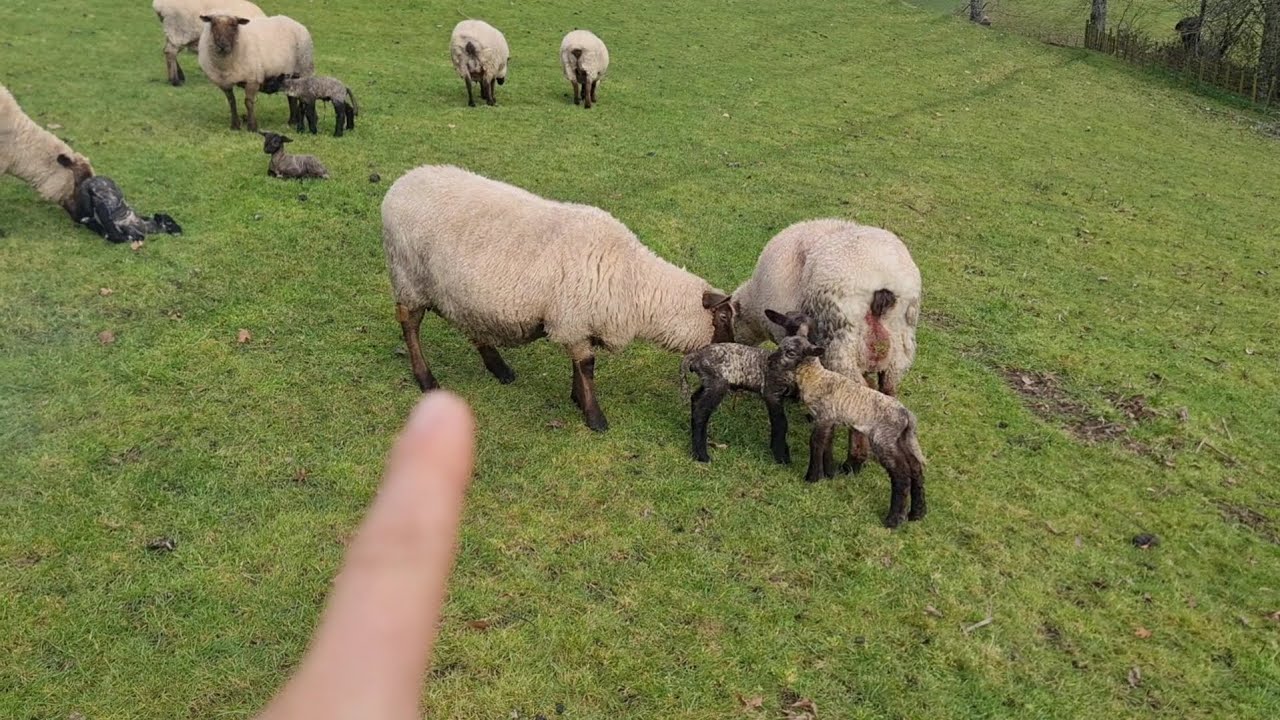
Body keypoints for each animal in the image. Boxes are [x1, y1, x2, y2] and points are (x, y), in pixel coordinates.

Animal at [381, 164, 736, 432]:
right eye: (722, 316)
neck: (633, 282)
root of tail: (400, 184)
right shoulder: (572, 317)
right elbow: (587, 365)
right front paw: (594, 417)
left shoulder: (579, 321)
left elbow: (580, 365)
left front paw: (578, 399)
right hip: (408, 276)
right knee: (409, 324)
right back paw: (426, 378)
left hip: (458, 290)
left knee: (470, 322)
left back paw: (499, 368)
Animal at [679, 310, 818, 464]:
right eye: (782, 347)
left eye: (791, 352)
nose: (770, 361)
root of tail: (696, 356)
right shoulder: (771, 391)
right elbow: (781, 422)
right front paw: (781, 455)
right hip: (717, 383)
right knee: (701, 411)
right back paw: (701, 455)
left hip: (708, 382)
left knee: (695, 400)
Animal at [733, 219, 921, 474]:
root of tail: (885, 284)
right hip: (899, 347)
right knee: (887, 389)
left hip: (841, 340)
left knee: (860, 390)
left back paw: (854, 460)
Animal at [793, 355, 927, 529]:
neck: (816, 376)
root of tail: (906, 416)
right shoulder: (830, 419)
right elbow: (827, 442)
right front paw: (829, 472)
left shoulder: (824, 415)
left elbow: (816, 442)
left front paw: (812, 477)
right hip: (901, 439)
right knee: (915, 467)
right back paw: (917, 513)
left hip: (883, 439)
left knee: (902, 474)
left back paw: (894, 519)